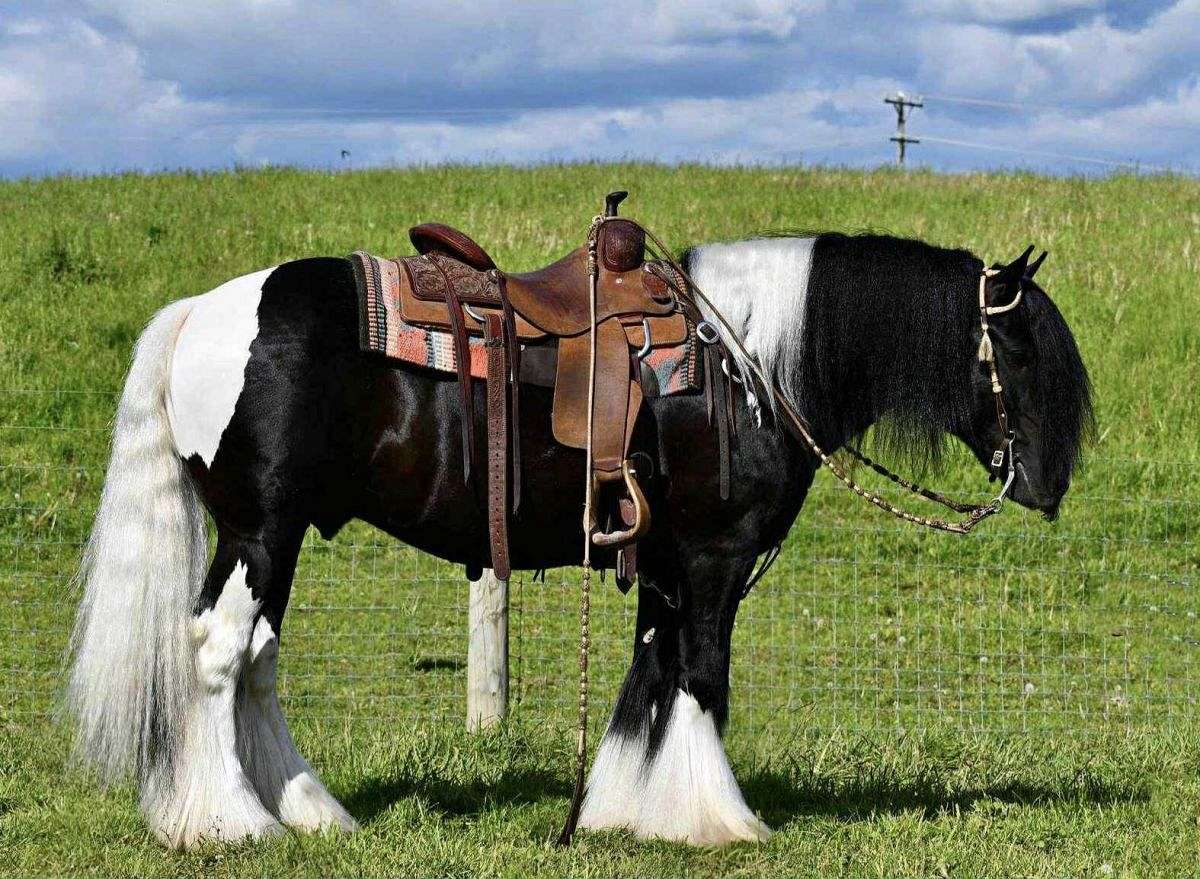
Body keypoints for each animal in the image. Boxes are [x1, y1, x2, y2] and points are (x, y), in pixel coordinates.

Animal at [66, 227, 1092, 848]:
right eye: (1019, 347)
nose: (1047, 485)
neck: (745, 365)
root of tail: (200, 313)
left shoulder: (667, 561)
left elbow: (653, 673)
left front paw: (626, 809)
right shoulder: (713, 557)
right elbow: (700, 675)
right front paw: (721, 819)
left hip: (272, 537)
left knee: (258, 661)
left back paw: (312, 810)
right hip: (259, 529)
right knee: (216, 652)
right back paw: (227, 820)